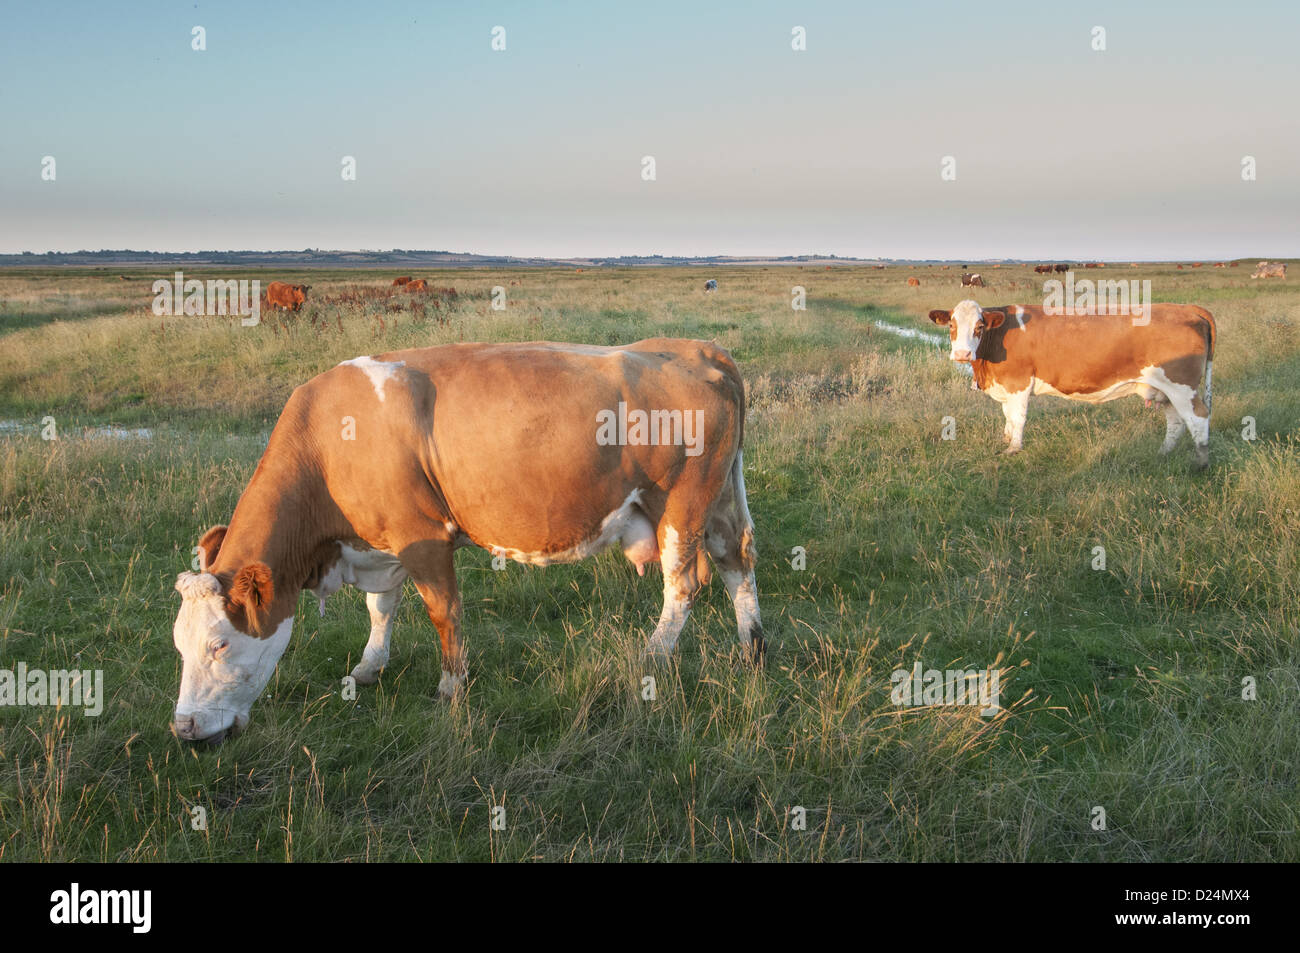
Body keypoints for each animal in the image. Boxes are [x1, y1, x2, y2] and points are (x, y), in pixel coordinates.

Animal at [168, 338, 763, 743]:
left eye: (219, 644)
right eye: (178, 644)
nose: (184, 727)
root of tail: (699, 349)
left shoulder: (422, 538)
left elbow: (443, 612)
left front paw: (451, 689)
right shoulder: (382, 542)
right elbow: (381, 608)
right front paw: (369, 666)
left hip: (682, 506)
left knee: (684, 583)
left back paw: (654, 654)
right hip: (718, 503)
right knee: (737, 560)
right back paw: (751, 646)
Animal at [928, 300, 1216, 469]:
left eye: (979, 326)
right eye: (951, 325)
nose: (962, 354)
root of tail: (1186, 308)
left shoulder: (1019, 383)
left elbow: (1017, 417)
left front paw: (1013, 449)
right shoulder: (1007, 386)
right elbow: (1007, 417)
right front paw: (1007, 440)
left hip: (1182, 385)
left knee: (1198, 417)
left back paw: (1201, 462)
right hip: (1166, 389)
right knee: (1176, 422)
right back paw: (1163, 453)